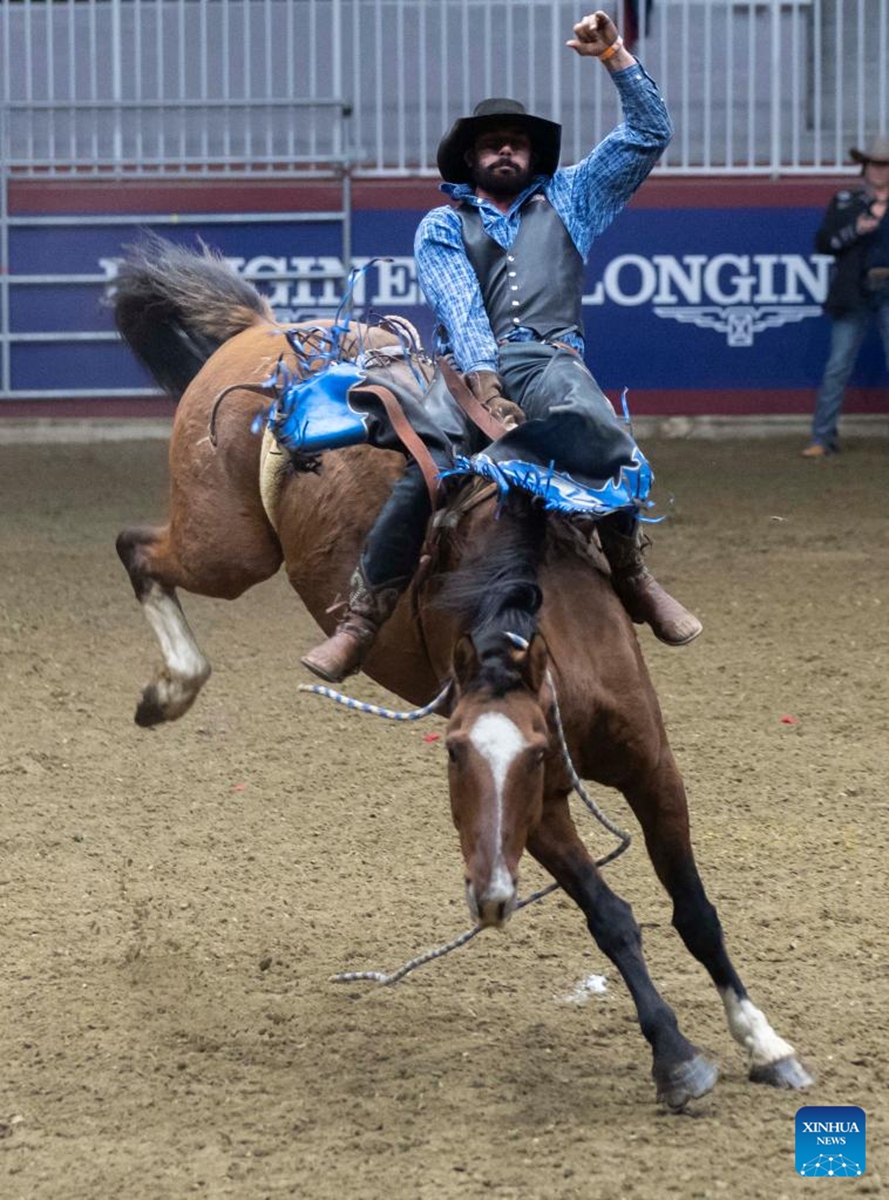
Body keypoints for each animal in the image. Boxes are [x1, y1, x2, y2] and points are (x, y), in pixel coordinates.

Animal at [113, 238, 813, 1109]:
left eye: (535, 752)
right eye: (450, 752)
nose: (487, 898)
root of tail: (266, 328)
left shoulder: (651, 766)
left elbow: (693, 908)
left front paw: (763, 1041)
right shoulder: (543, 814)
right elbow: (611, 916)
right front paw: (676, 1057)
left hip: (229, 546)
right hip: (225, 544)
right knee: (138, 549)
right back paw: (171, 686)